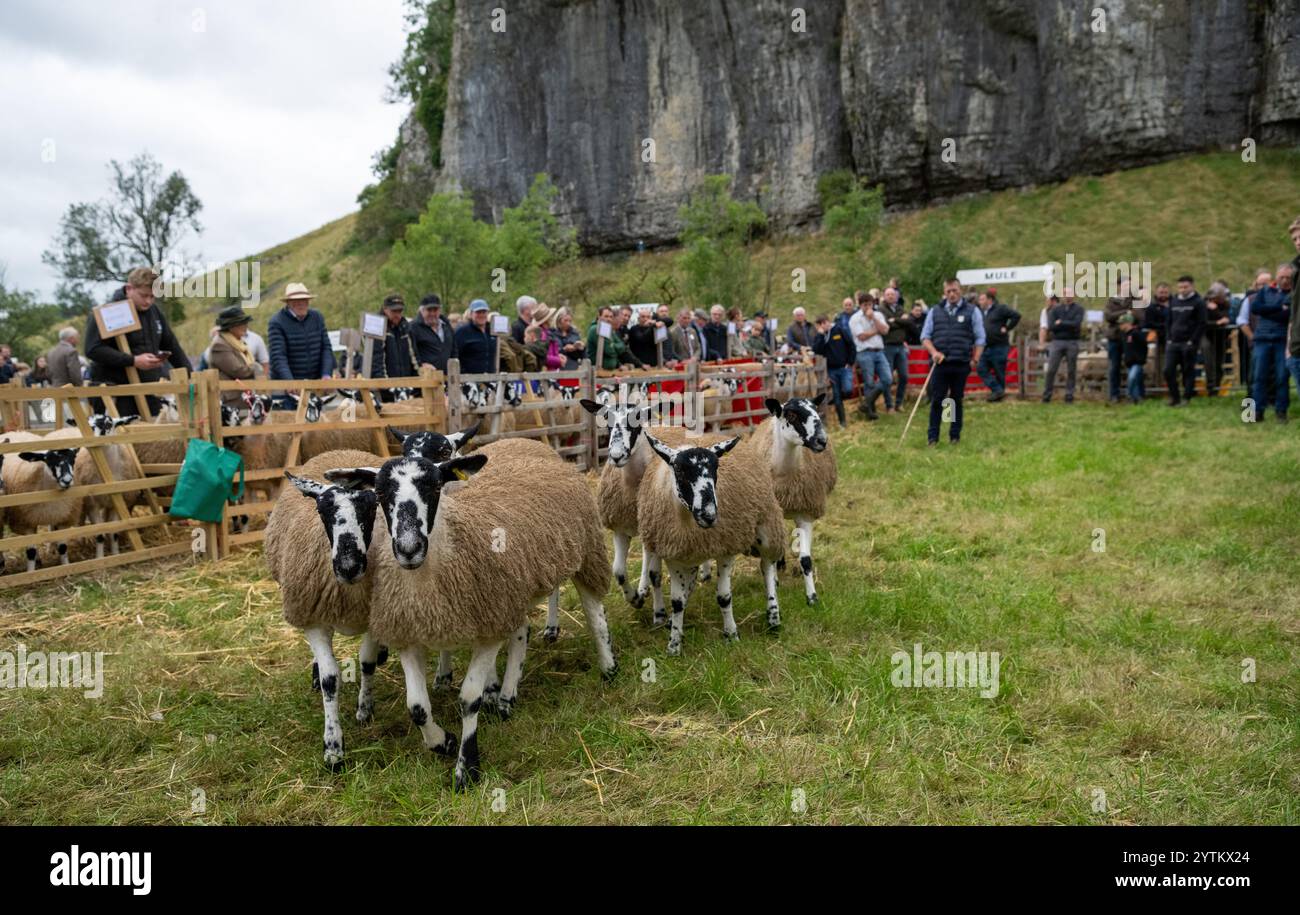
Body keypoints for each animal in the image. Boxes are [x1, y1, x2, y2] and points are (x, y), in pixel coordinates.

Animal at [1, 428, 83, 571]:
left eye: (73, 459)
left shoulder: (62, 518)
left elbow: (63, 547)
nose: (67, 481)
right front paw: (30, 572)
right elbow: (31, 552)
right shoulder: (27, 522)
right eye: (49, 460)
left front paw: (66, 567)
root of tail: (16, 431)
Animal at [268, 448, 389, 768]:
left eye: (371, 508)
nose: (349, 566)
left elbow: (367, 662)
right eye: (322, 511)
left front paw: (364, 709)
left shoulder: (371, 615)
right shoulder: (314, 620)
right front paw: (333, 747)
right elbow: (330, 679)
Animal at [326, 437, 615, 789]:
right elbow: (417, 707)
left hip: (587, 551)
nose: (409, 548)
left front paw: (467, 768)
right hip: (513, 592)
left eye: (436, 486)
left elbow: (469, 699)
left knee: (594, 612)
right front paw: (443, 742)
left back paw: (608, 666)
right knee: (521, 634)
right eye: (379, 493)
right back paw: (506, 698)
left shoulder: (489, 629)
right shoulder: (409, 634)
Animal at [637, 430, 786, 656]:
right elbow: (677, 602)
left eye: (716, 469)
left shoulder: (726, 549)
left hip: (767, 525)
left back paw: (773, 616)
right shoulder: (674, 555)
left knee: (767, 566)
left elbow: (724, 597)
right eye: (679, 470)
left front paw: (731, 635)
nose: (709, 515)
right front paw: (674, 645)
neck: (690, 526)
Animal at [741, 395, 837, 605]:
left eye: (816, 410)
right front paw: (774, 579)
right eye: (791, 415)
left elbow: (806, 560)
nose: (821, 441)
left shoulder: (805, 513)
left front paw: (812, 598)